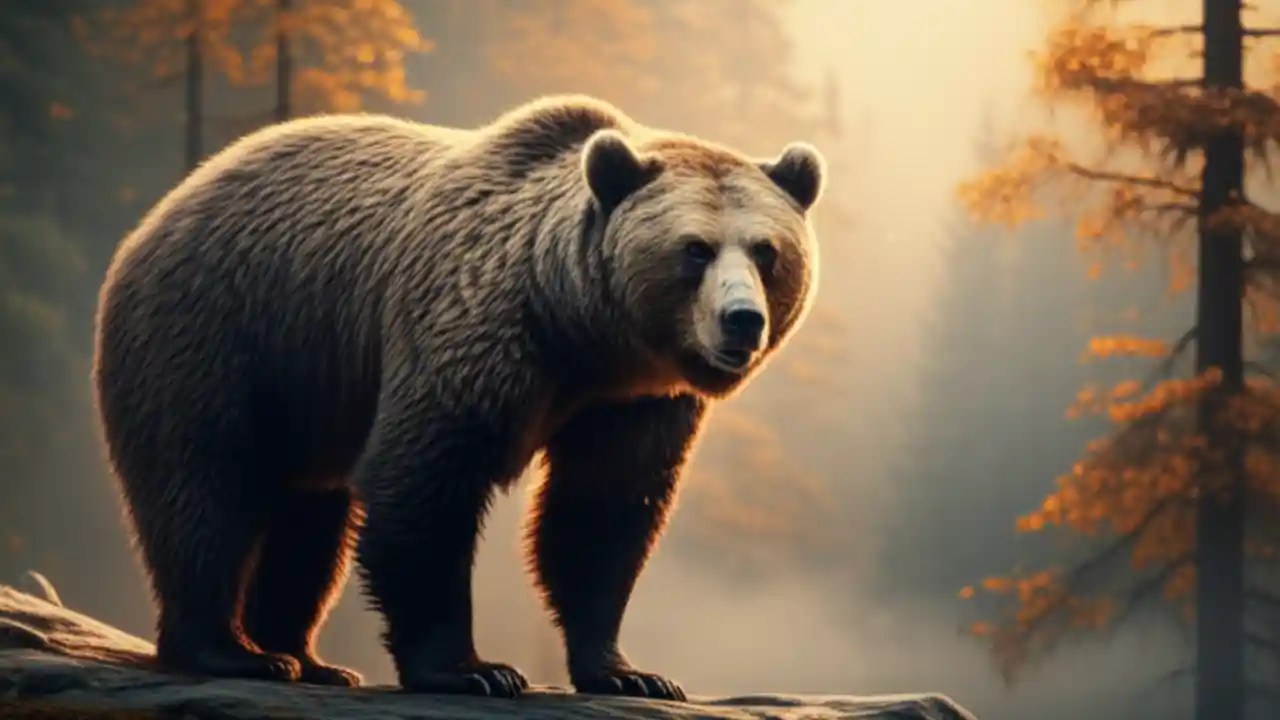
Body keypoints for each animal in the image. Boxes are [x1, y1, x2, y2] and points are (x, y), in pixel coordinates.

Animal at [92, 94, 824, 700]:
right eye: (695, 250)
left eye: (767, 251)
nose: (742, 321)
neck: (581, 329)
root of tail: (160, 211)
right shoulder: (471, 327)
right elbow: (427, 482)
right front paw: (474, 669)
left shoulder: (632, 401)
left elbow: (601, 511)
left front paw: (627, 672)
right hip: (222, 336)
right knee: (204, 487)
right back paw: (232, 650)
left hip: (313, 393)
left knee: (309, 522)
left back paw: (308, 656)